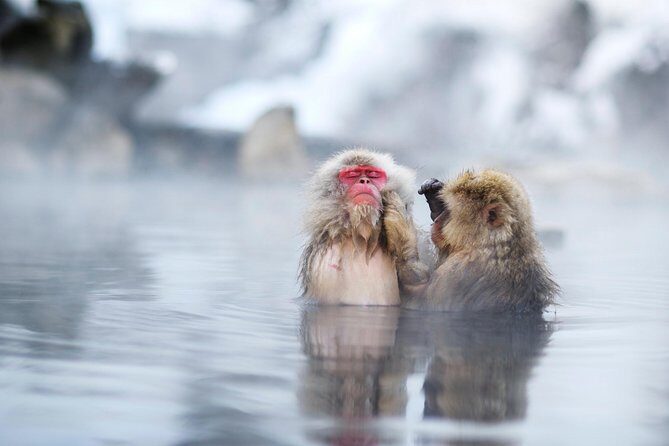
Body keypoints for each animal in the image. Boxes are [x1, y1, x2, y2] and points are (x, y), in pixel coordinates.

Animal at [299, 148, 429, 306]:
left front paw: (403, 241)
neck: (364, 239)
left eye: (373, 174)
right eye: (352, 175)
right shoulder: (323, 264)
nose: (364, 181)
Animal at [407, 169, 558, 312]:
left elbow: (425, 304)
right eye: (446, 210)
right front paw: (434, 197)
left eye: (450, 214)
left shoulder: (459, 271)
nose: (439, 220)